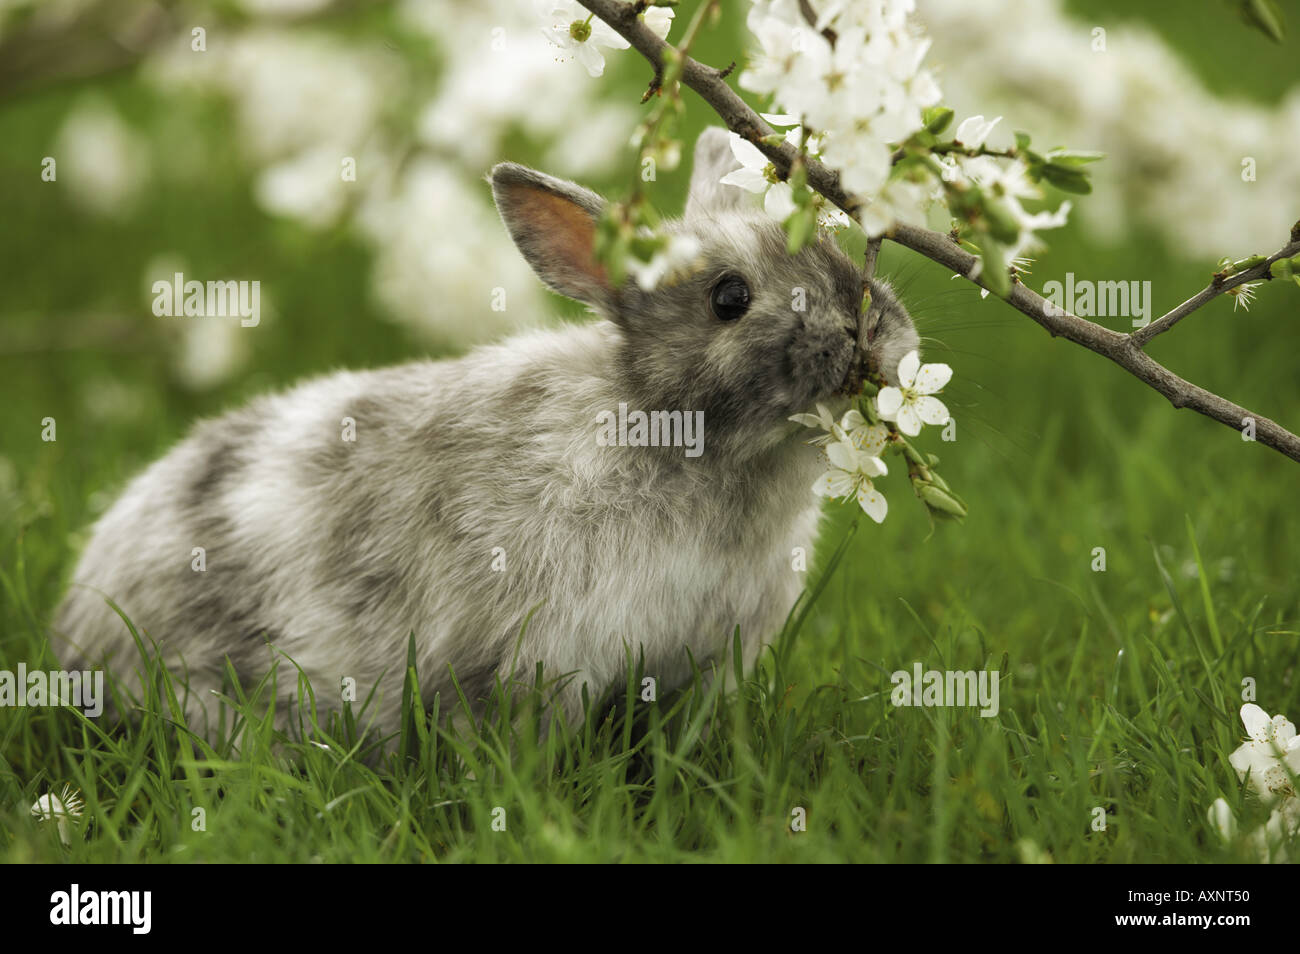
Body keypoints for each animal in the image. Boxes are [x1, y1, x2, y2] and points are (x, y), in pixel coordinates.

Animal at [53, 126, 919, 741]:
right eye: (729, 298)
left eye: (833, 246)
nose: (868, 331)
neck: (682, 438)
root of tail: (75, 623)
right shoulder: (529, 658)